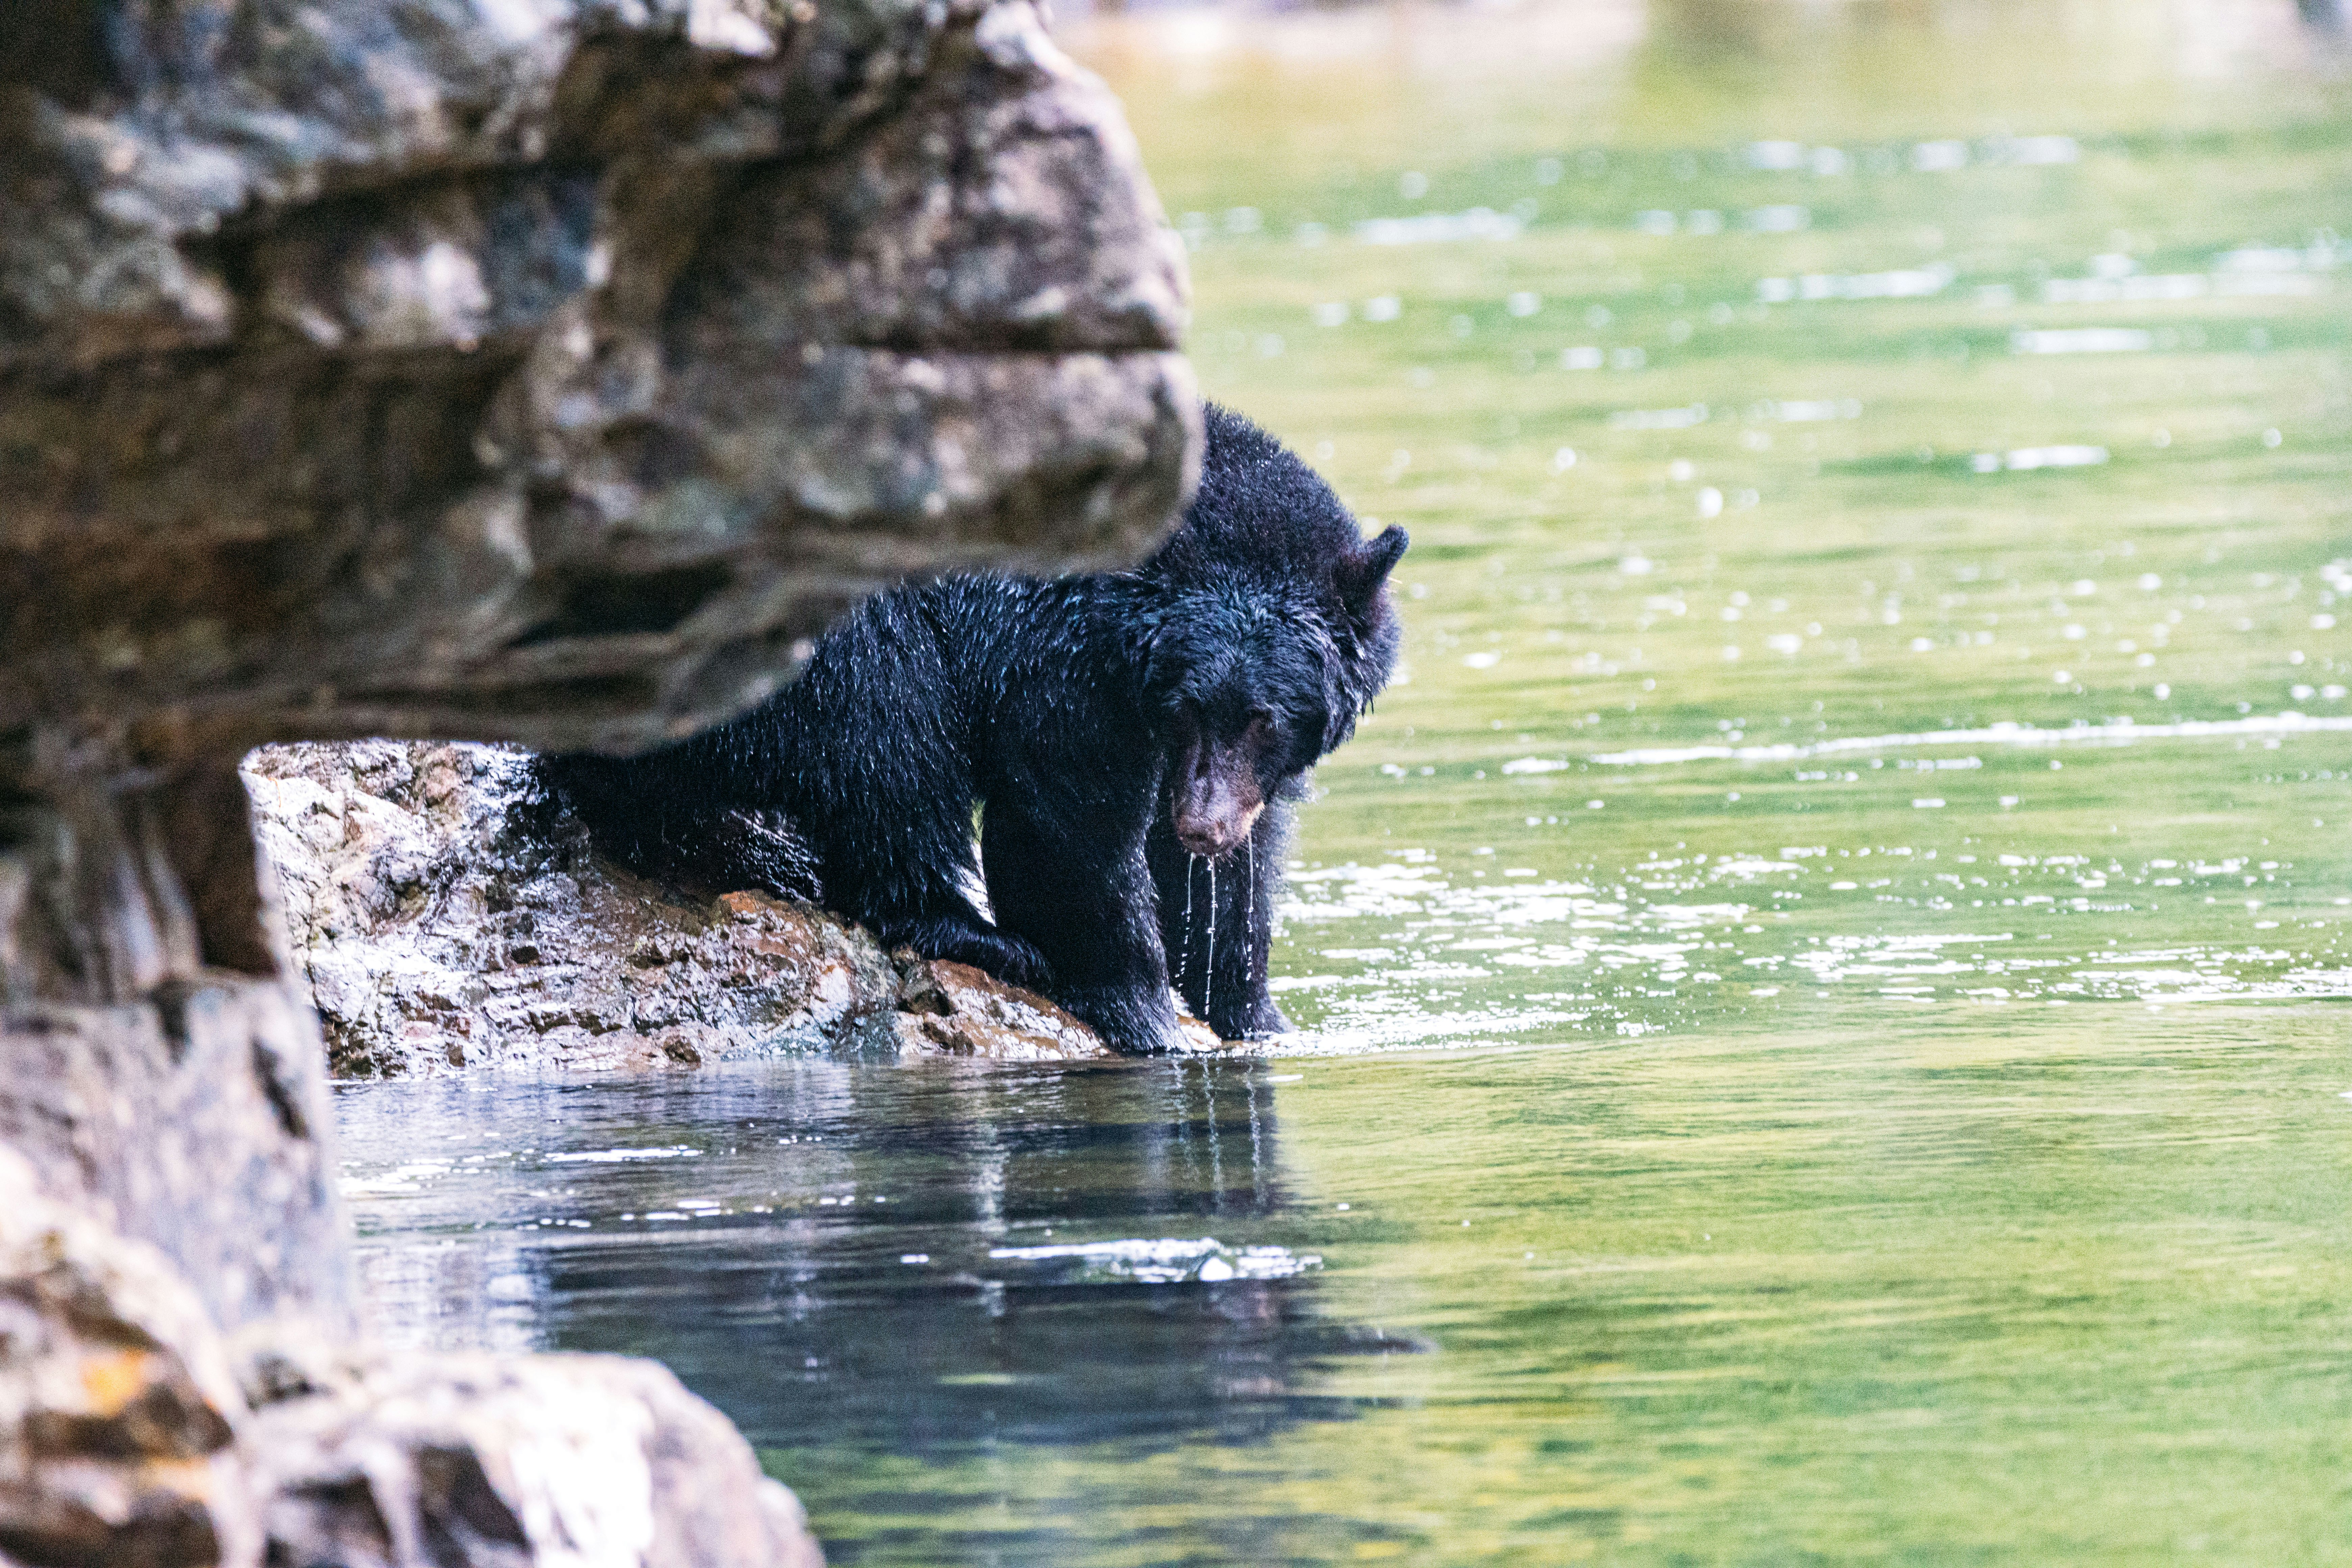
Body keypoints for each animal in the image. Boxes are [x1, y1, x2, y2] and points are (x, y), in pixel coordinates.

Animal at [541, 403, 1406, 1054]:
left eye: (1265, 716)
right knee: (890, 728)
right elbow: (1070, 830)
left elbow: (1233, 880)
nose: (1204, 824)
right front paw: (1143, 1011)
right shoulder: (1061, 660)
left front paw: (1253, 1011)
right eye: (1189, 702)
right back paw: (973, 932)